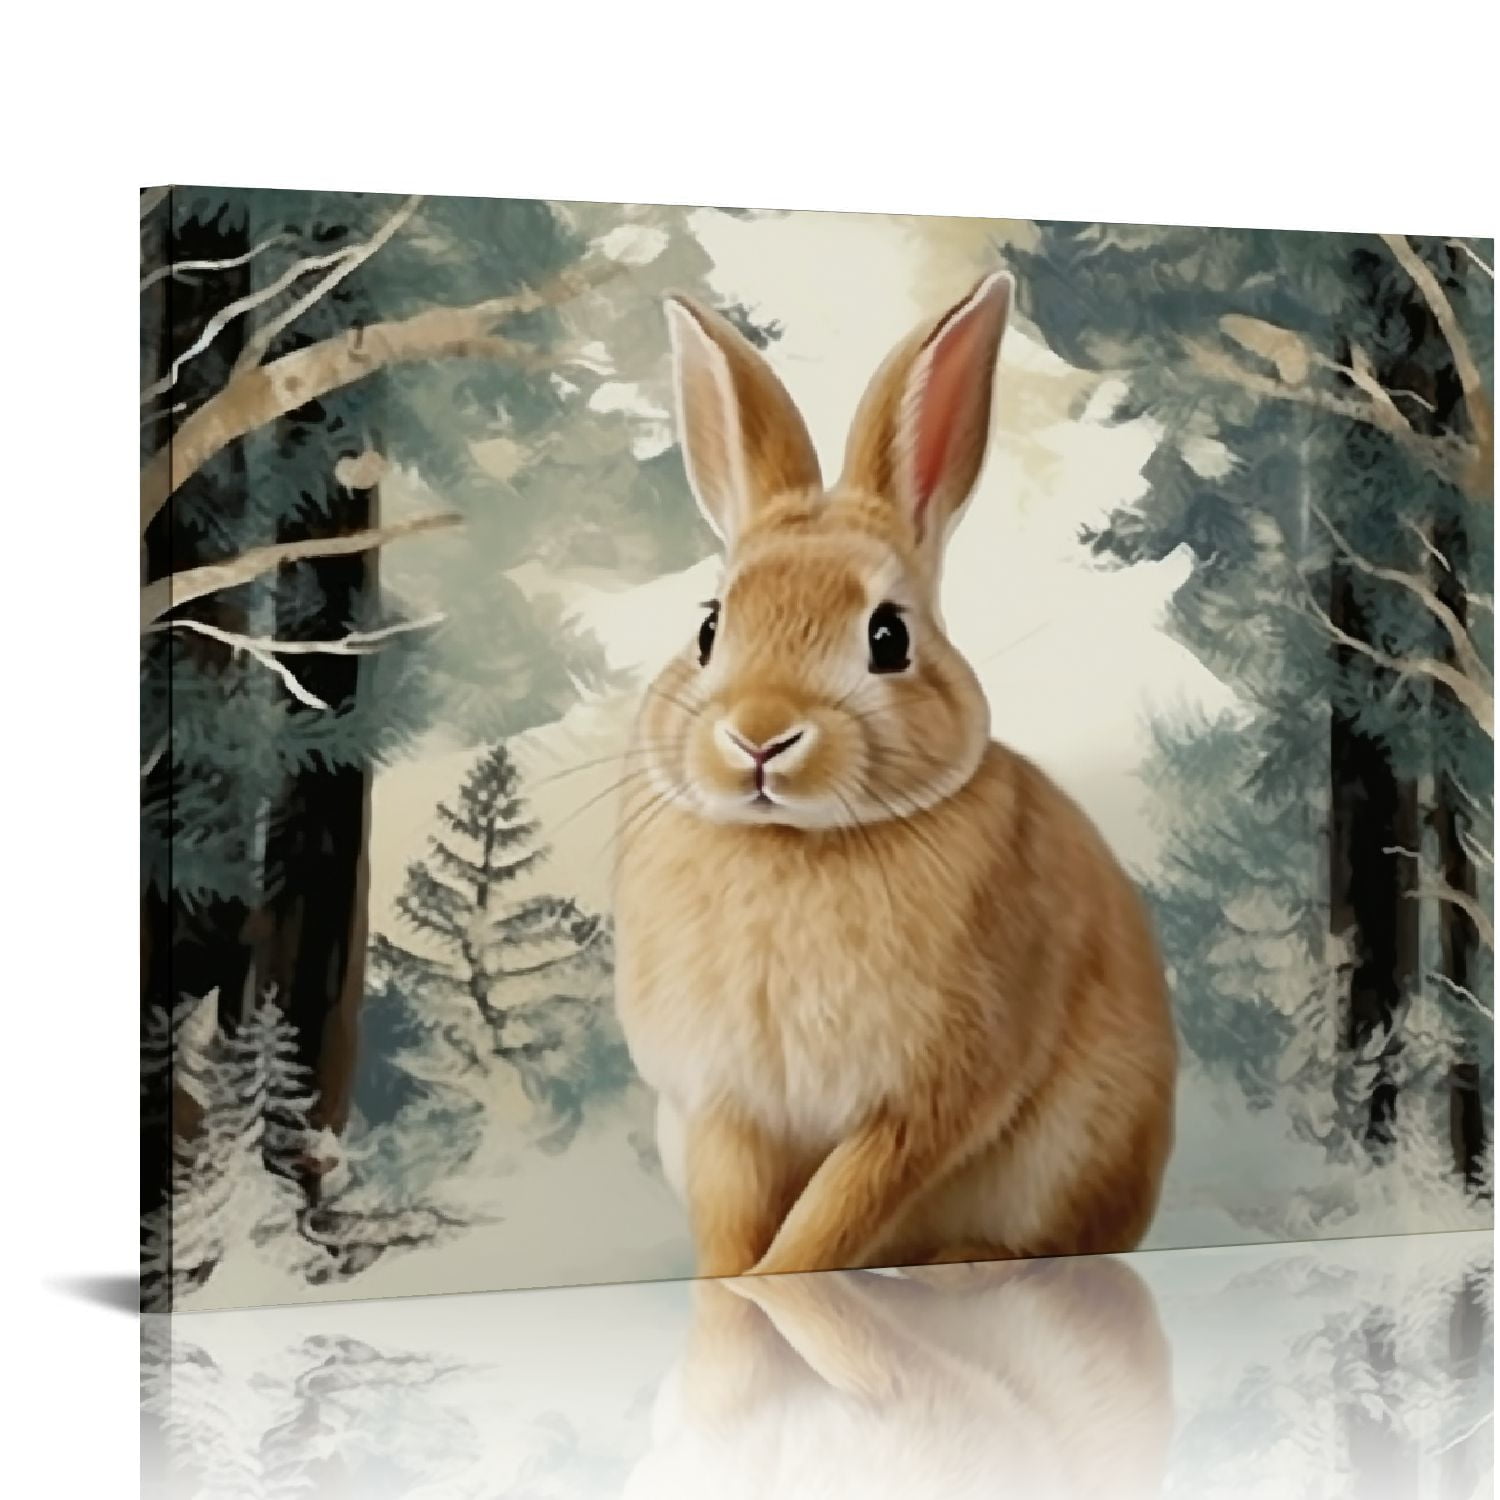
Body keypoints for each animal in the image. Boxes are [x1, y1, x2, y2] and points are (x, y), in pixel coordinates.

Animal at [612, 271, 1176, 1279]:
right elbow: (739, 1213)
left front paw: (777, 1288)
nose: (760, 737)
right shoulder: (724, 1104)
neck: (794, 846)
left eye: (888, 637)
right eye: (711, 628)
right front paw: (726, 1288)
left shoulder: (927, 1102)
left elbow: (834, 1216)